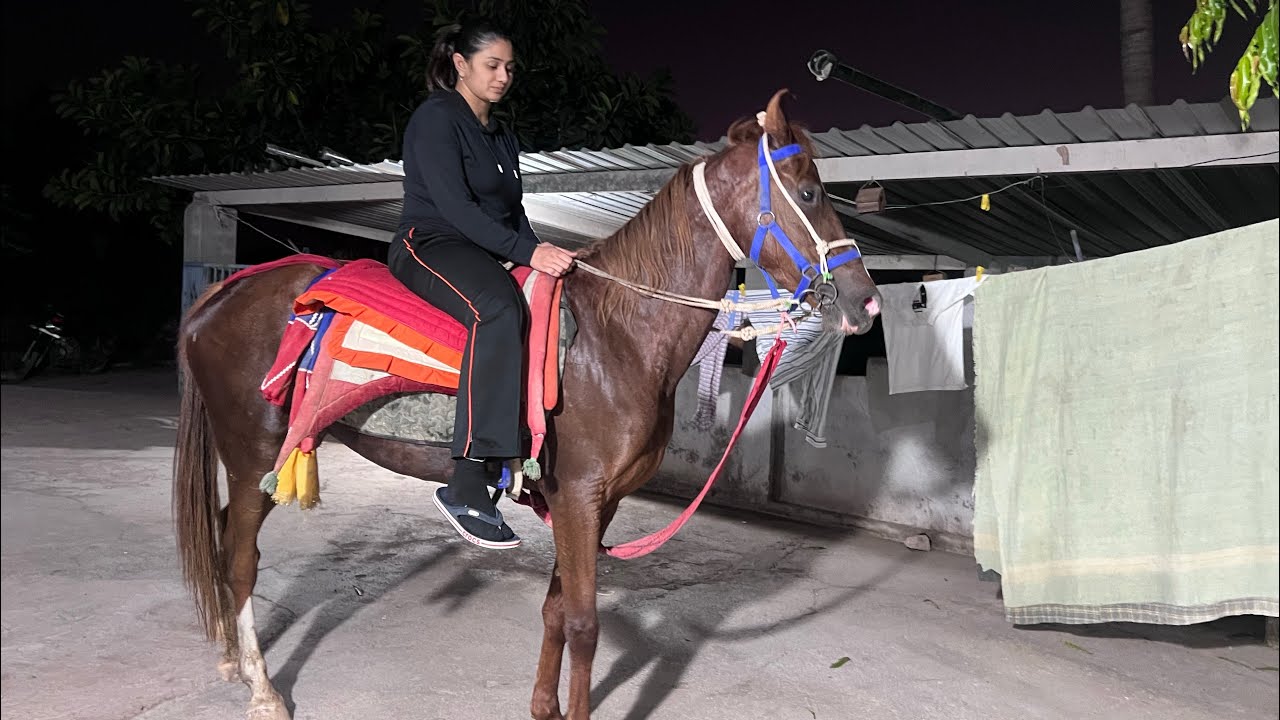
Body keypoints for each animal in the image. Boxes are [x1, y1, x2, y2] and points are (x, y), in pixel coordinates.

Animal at [173, 89, 883, 720]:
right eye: (811, 192)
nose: (866, 303)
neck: (615, 334)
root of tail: (224, 293)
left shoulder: (598, 503)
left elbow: (556, 611)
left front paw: (543, 706)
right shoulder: (578, 497)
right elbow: (585, 623)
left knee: (227, 537)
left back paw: (234, 662)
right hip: (254, 454)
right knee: (239, 563)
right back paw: (264, 691)